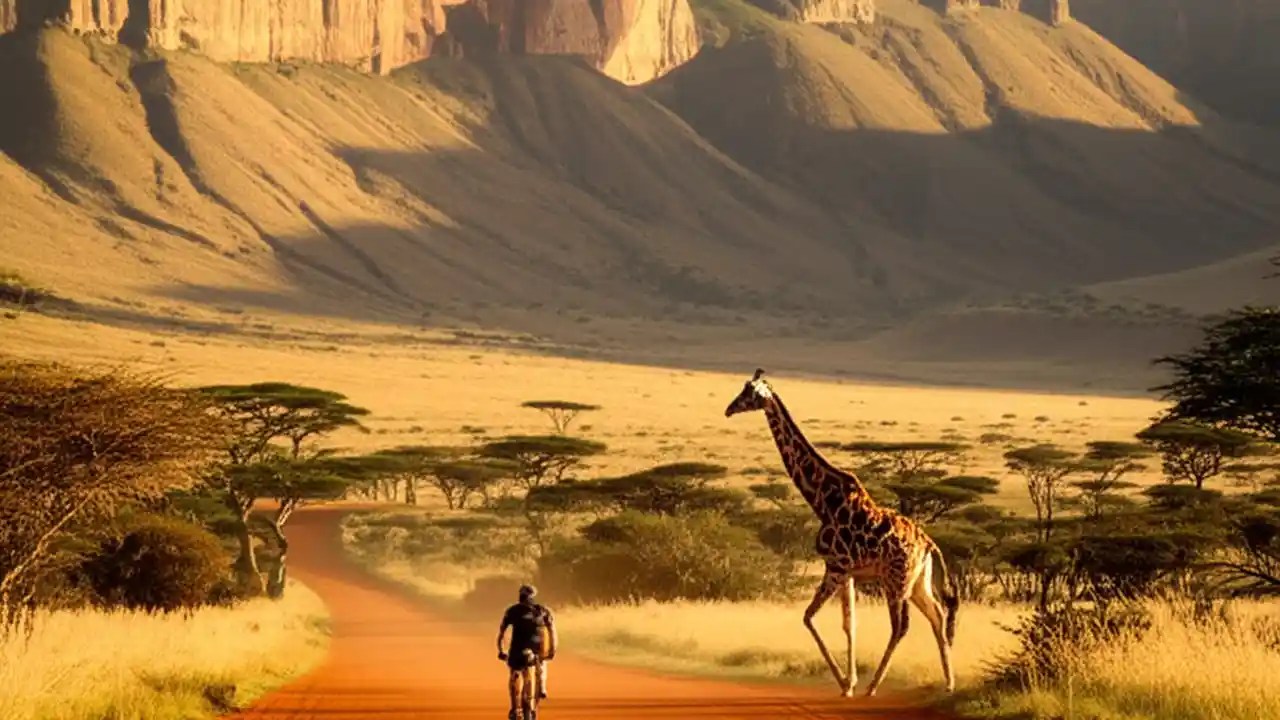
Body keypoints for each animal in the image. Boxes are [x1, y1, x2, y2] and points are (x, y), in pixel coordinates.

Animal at [724, 369, 959, 697]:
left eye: (749, 392)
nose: (729, 408)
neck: (822, 500)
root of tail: (929, 545)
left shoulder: (834, 566)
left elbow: (808, 617)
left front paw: (845, 682)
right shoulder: (848, 572)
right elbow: (850, 624)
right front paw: (849, 682)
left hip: (896, 580)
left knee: (901, 626)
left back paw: (874, 686)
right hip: (917, 582)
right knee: (937, 615)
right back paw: (949, 683)